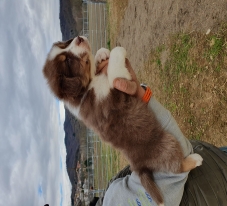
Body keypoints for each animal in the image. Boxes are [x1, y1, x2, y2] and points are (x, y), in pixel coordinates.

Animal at [42, 36, 202, 205]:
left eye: (64, 43)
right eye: (67, 61)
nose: (79, 38)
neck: (86, 90)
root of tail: (139, 167)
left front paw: (101, 54)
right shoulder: (115, 85)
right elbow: (115, 65)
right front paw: (116, 51)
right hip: (168, 144)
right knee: (177, 167)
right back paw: (195, 159)